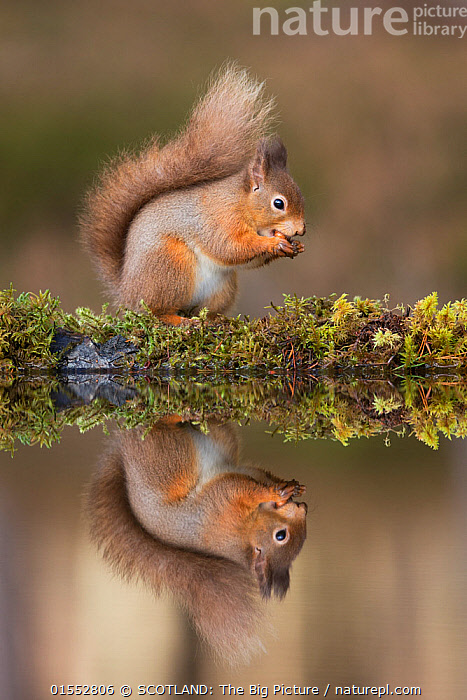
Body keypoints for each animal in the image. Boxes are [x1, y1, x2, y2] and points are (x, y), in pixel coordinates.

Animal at [80, 64, 306, 324]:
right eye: (279, 203)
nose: (301, 230)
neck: (240, 202)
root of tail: (128, 293)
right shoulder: (219, 220)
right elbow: (230, 247)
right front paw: (273, 243)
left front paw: (294, 246)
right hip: (171, 266)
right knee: (156, 312)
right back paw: (178, 321)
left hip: (222, 287)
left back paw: (214, 320)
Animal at [86, 417, 307, 662]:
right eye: (281, 535)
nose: (303, 508)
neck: (245, 533)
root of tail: (127, 464)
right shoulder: (226, 502)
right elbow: (247, 486)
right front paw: (282, 489)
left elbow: (251, 478)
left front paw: (284, 489)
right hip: (171, 460)